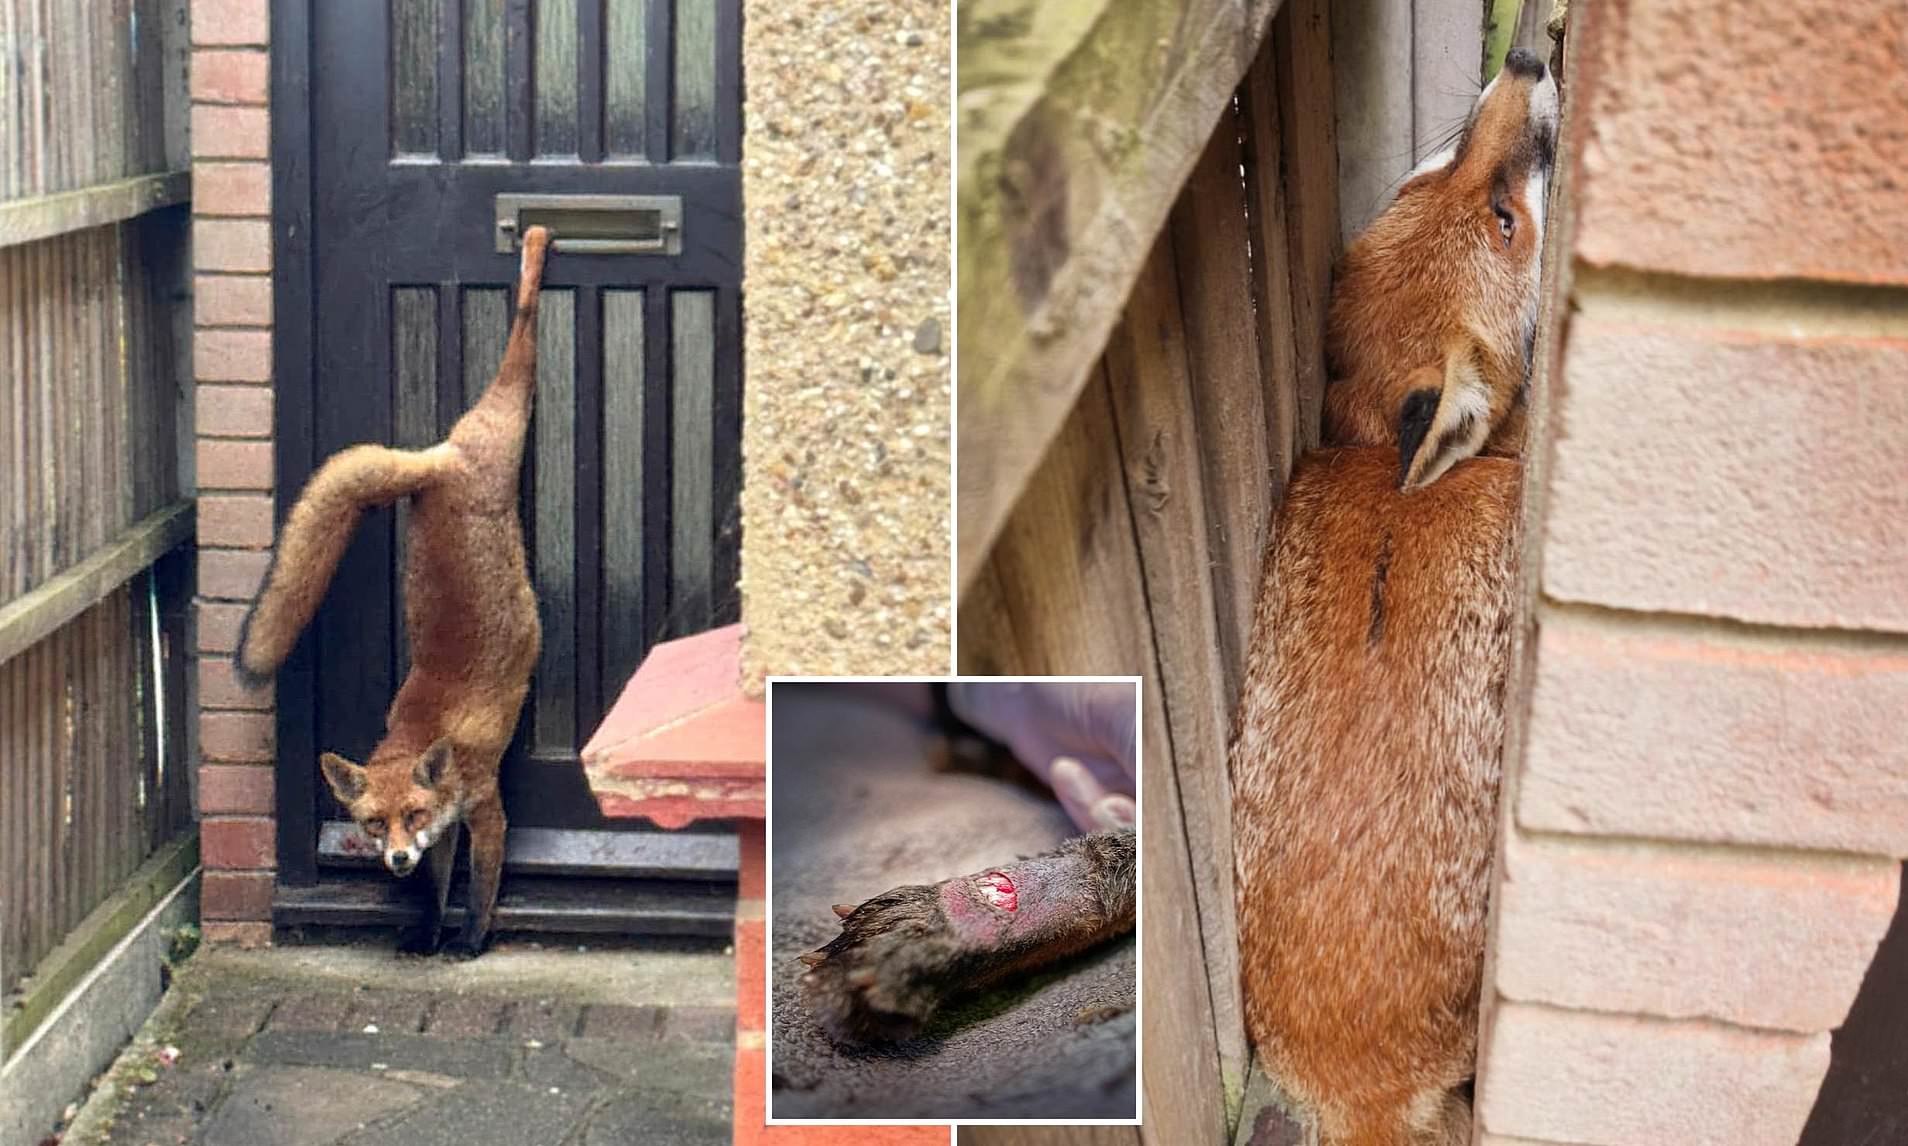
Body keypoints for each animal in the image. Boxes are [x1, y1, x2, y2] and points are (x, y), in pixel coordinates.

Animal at [235, 226, 553, 958]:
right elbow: (437, 888)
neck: (426, 737)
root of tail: (439, 464)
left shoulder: (486, 810)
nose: (397, 859)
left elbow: (482, 890)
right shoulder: (449, 829)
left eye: (411, 813)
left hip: (509, 419)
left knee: (521, 339)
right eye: (378, 824)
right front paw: (429, 936)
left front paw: (472, 943)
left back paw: (535, 251)